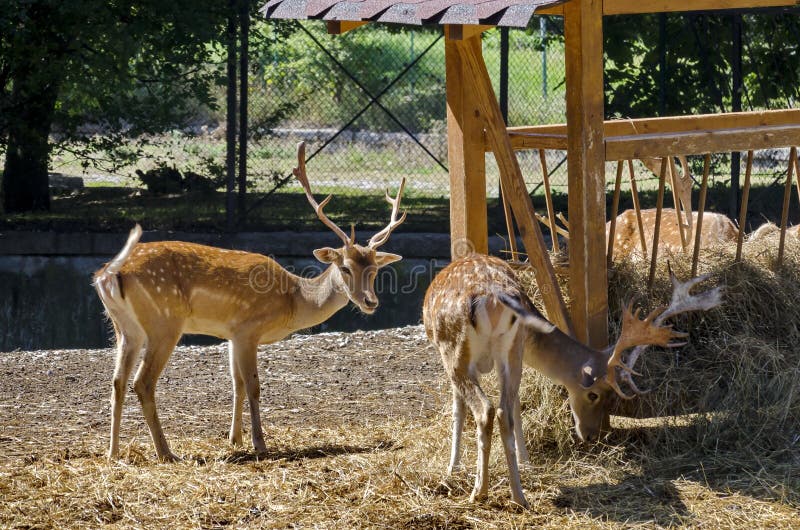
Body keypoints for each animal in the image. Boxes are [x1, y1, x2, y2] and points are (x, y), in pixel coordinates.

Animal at [95, 142, 406, 462]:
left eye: (374, 269)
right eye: (345, 268)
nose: (370, 301)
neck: (293, 301)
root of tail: (108, 273)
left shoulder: (232, 334)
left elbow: (237, 383)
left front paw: (235, 439)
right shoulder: (248, 329)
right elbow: (254, 385)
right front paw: (259, 443)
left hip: (125, 327)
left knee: (117, 381)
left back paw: (113, 452)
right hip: (164, 322)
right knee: (142, 382)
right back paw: (166, 453)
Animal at [423, 253, 723, 508]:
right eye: (595, 394)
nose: (591, 436)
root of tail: (494, 295)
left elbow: (458, 409)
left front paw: (452, 468)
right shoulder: (515, 353)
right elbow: (516, 407)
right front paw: (526, 462)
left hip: (454, 348)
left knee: (485, 410)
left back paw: (479, 492)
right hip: (507, 349)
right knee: (503, 411)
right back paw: (519, 496)